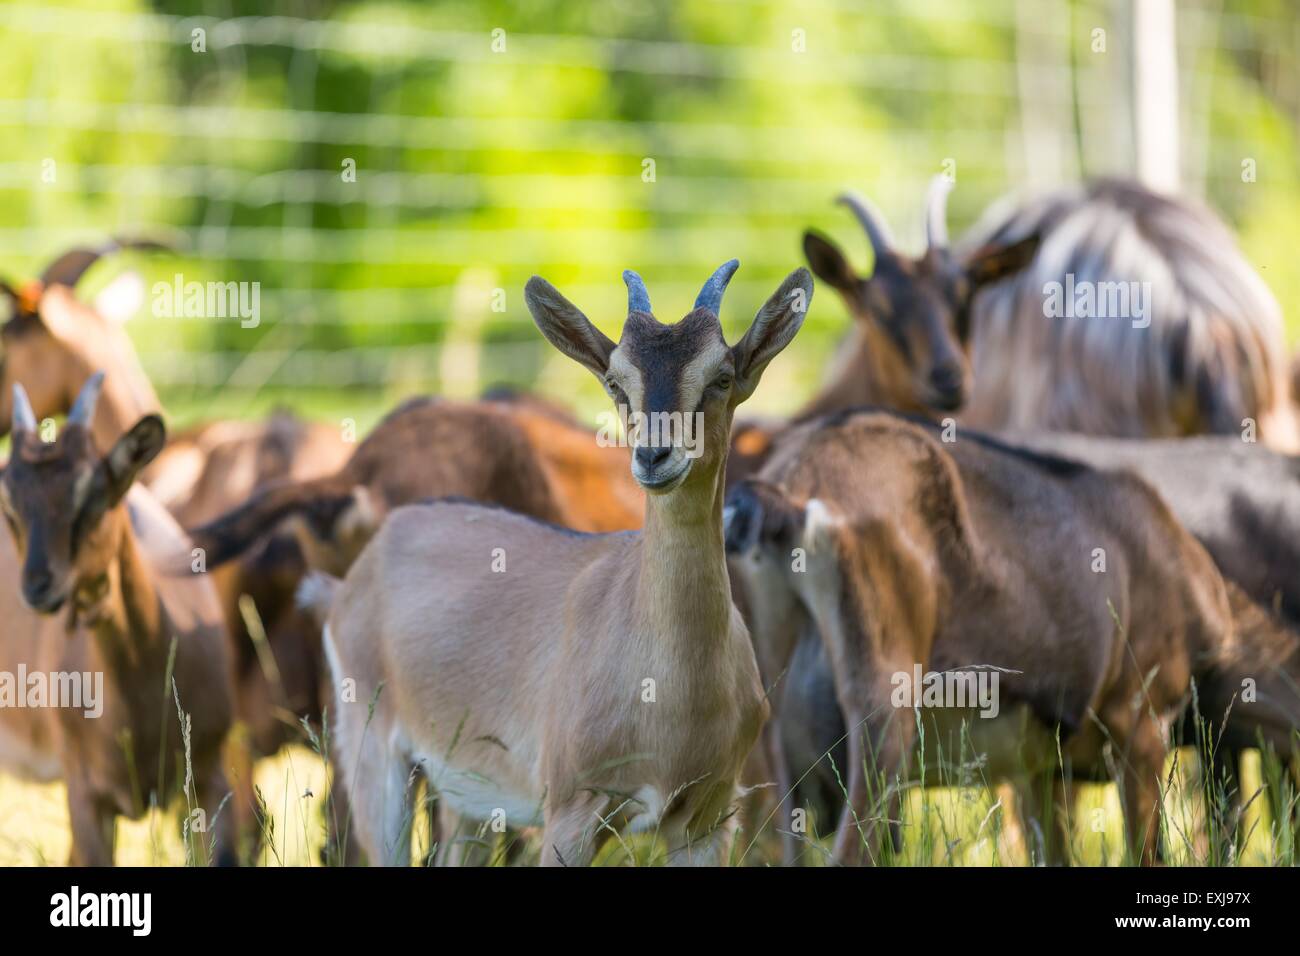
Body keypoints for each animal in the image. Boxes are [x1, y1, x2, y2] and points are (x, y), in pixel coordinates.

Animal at [303, 261, 810, 866]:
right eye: (616, 382)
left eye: (722, 377)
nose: (654, 456)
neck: (668, 691)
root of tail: (353, 579)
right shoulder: (570, 810)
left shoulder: (708, 818)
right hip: (376, 755)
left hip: (469, 794)